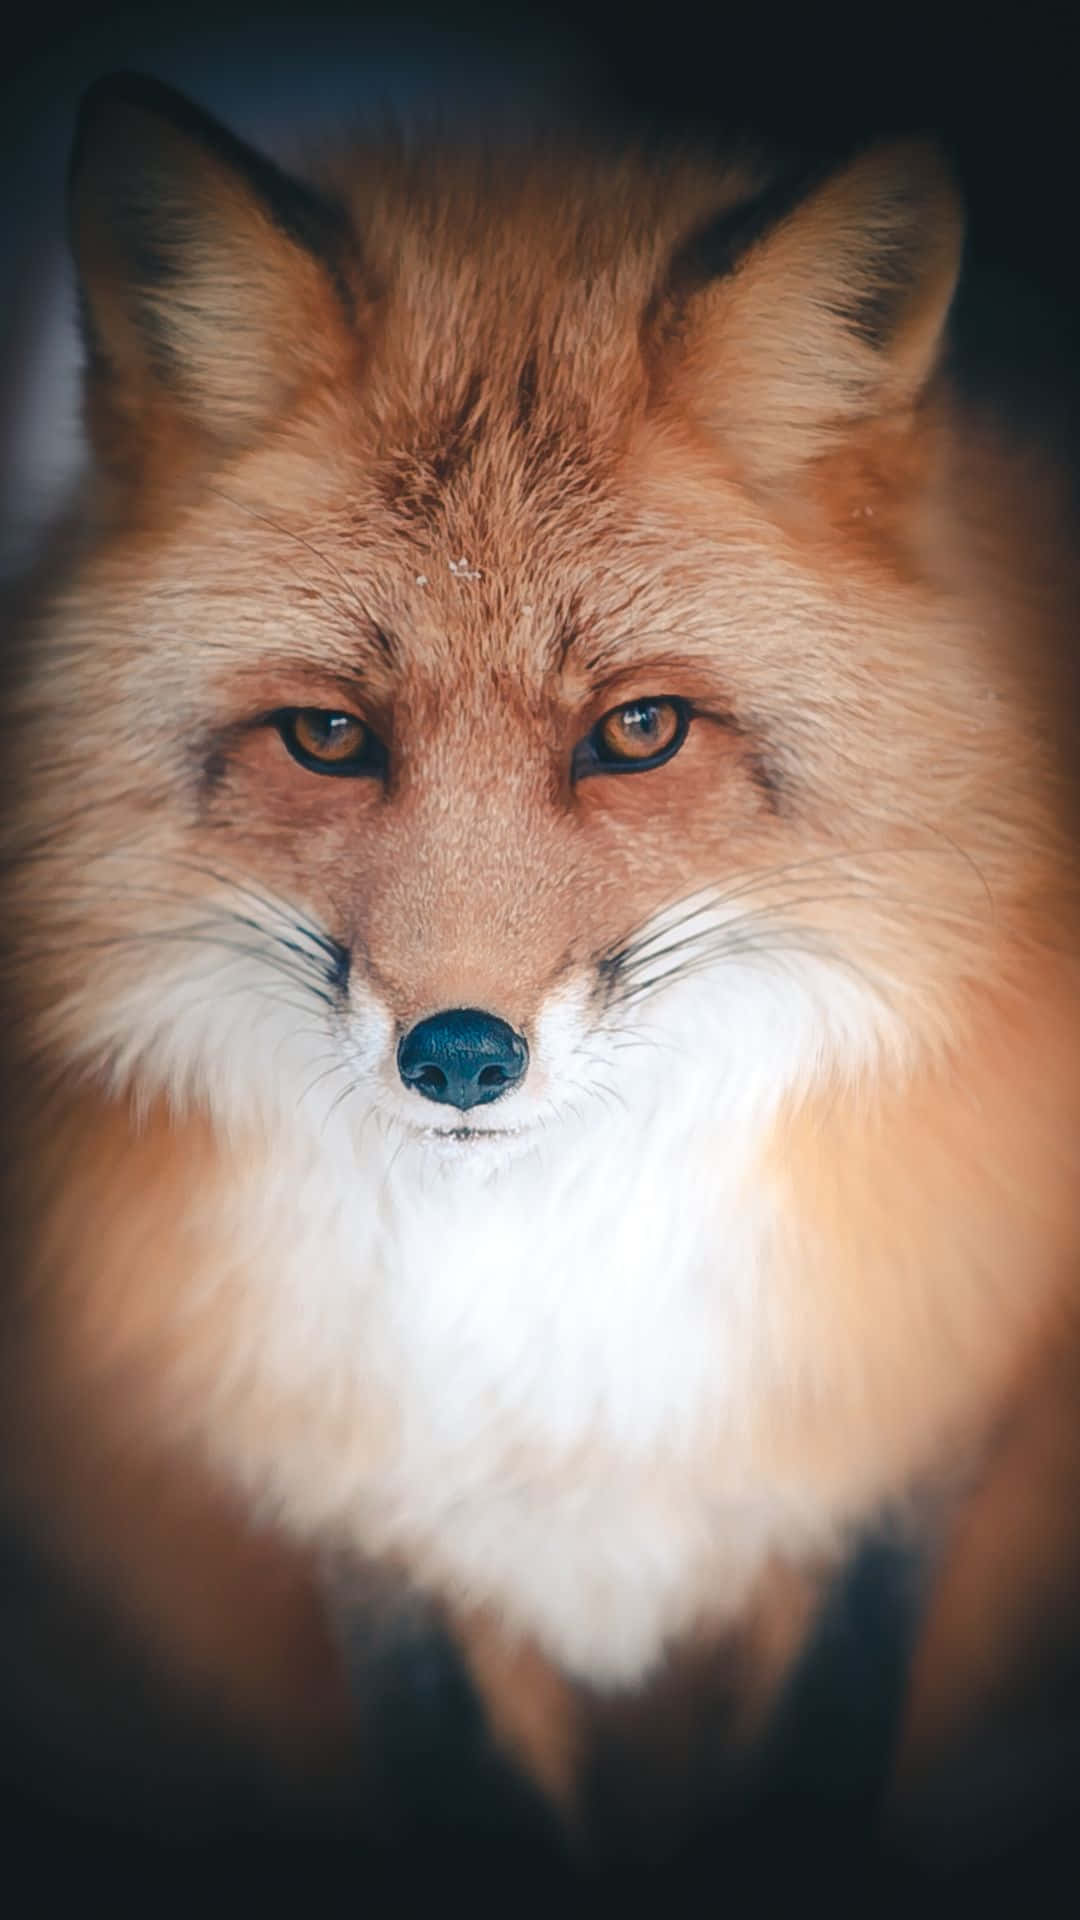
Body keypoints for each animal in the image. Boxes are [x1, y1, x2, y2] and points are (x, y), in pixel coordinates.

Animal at [2, 68, 1079, 1868]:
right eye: (329, 738)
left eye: (636, 732)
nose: (457, 1056)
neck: (547, 1301)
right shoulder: (372, 1516)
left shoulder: (888, 1461)